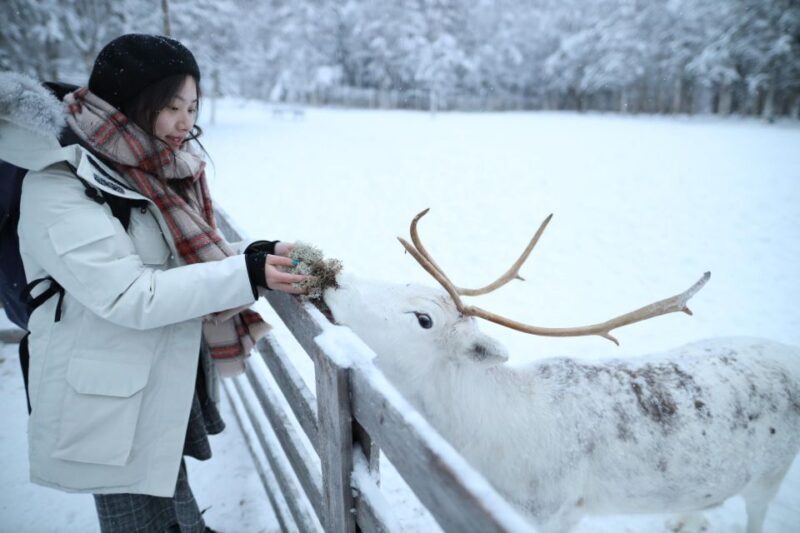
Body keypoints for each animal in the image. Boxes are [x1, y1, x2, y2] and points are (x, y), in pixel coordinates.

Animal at [322, 209, 800, 533]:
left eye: (423, 319)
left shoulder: (558, 510)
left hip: (771, 473)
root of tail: (791, 353)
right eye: (407, 283)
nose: (336, 279)